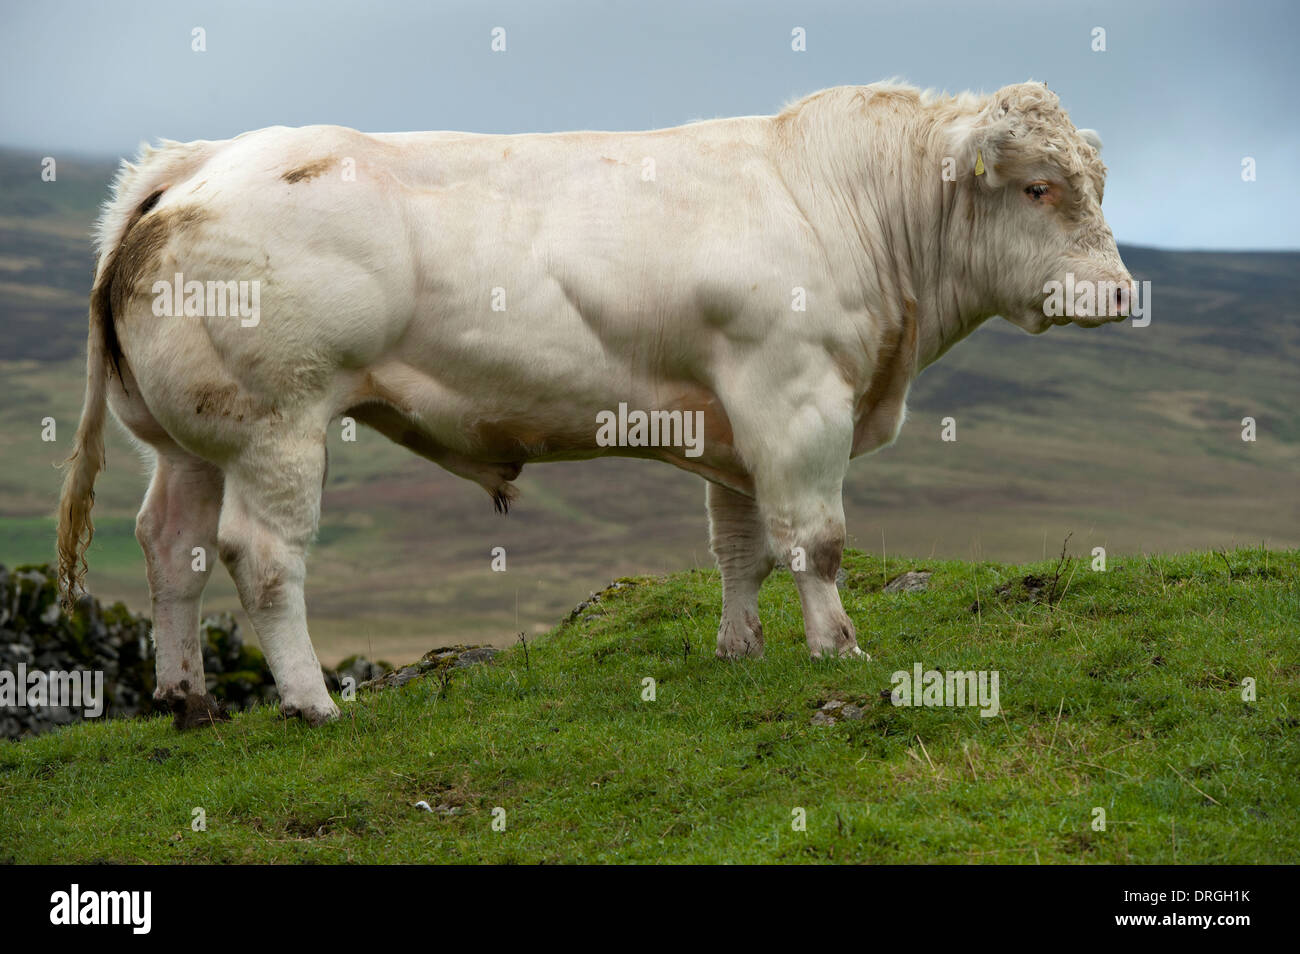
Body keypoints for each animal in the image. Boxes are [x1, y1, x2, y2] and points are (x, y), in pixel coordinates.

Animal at [57, 80, 1133, 727]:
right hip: (277, 426)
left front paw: (741, 650)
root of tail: (191, 162)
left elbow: (739, 548)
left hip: (188, 441)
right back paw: (313, 702)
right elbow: (815, 541)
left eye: (1095, 182)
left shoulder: (735, 424)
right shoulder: (794, 399)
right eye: (1038, 187)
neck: (843, 199)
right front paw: (837, 646)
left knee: (174, 549)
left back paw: (186, 699)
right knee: (264, 557)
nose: (1121, 292)